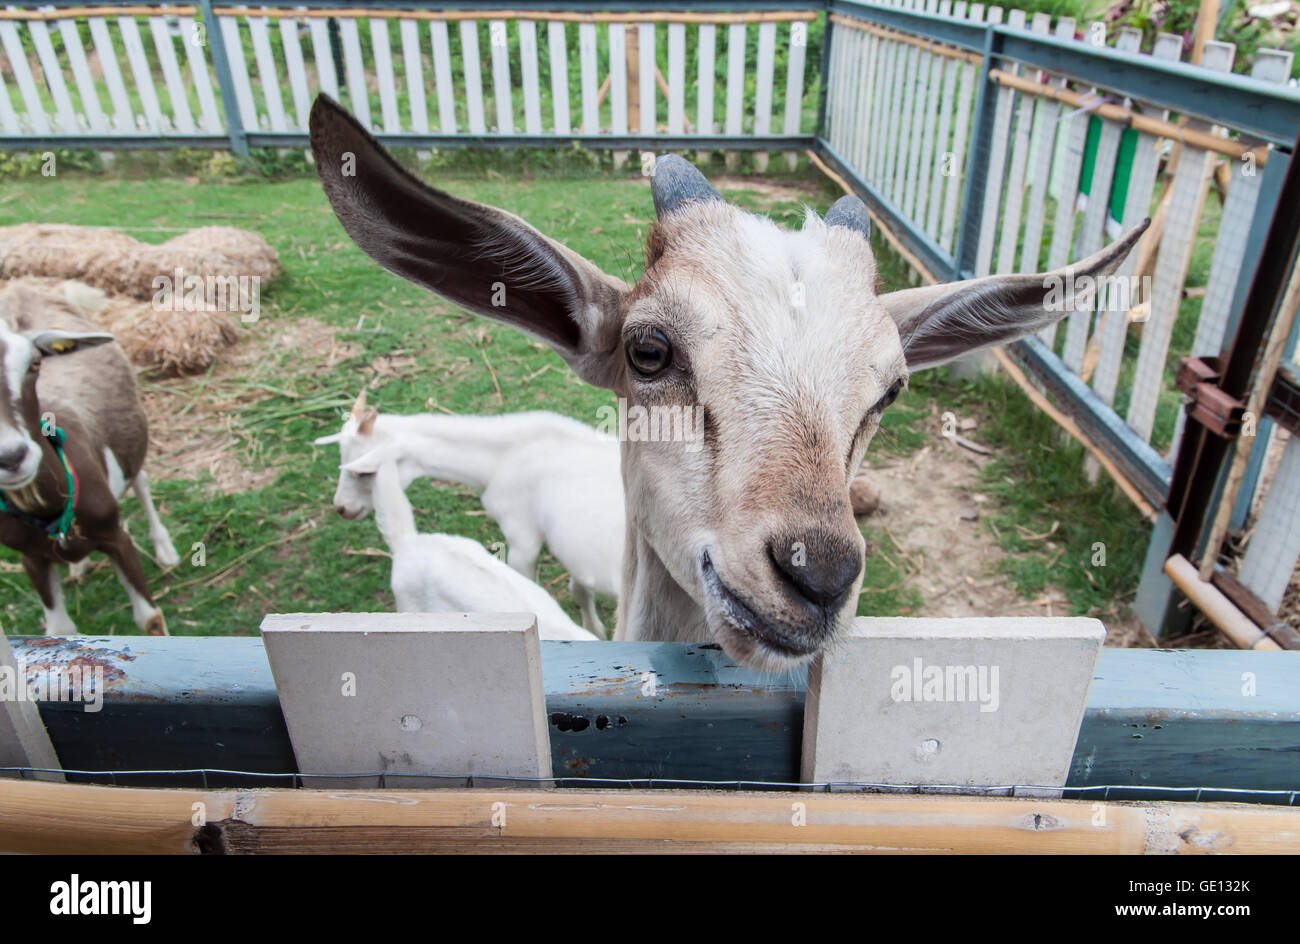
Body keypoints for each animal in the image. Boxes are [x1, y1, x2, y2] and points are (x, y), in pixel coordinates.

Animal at [0, 282, 179, 635]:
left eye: (34, 365)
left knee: (141, 481)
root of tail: (21, 290)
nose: (11, 457)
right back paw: (78, 564)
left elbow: (151, 619)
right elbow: (60, 631)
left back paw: (165, 547)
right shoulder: (31, 558)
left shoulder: (116, 536)